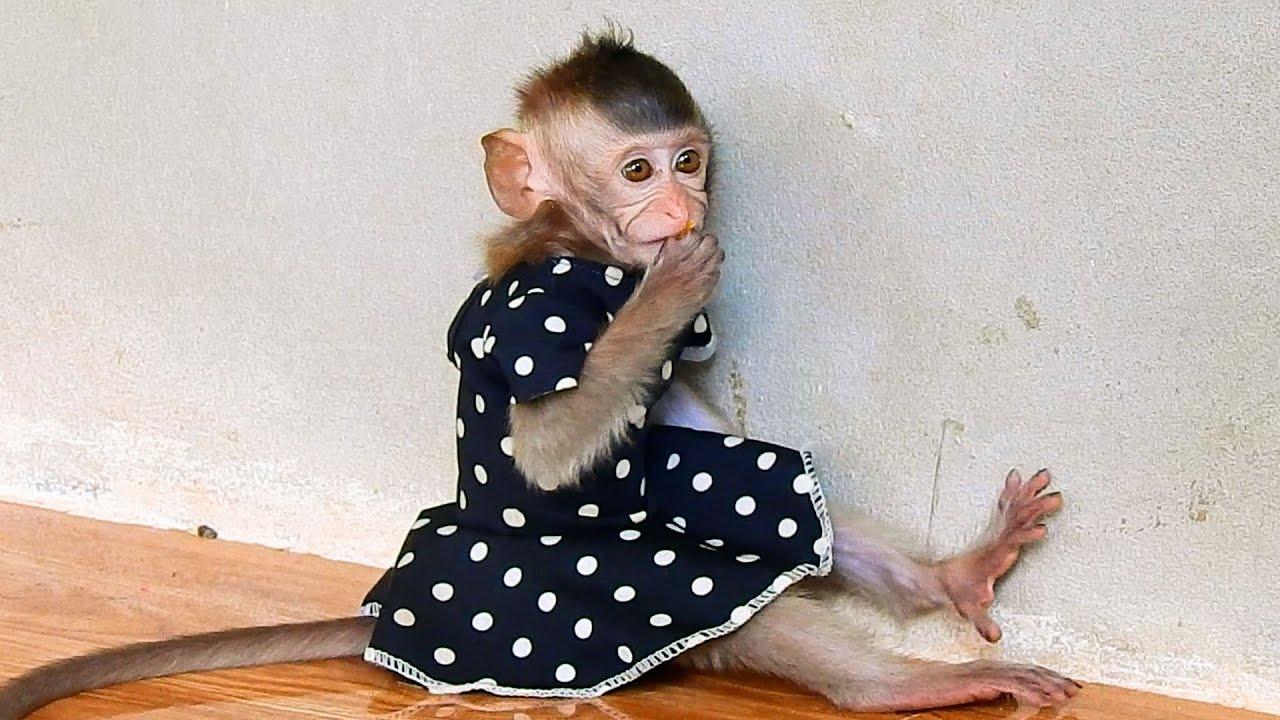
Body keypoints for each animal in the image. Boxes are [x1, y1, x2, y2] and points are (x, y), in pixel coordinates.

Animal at [0, 29, 1079, 719]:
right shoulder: (543, 306)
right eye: (638, 172)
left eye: (688, 160)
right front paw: (662, 295)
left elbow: (684, 437)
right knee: (711, 581)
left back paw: (959, 573)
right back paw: (895, 686)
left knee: (724, 480)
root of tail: (386, 617)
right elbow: (556, 447)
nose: (681, 208)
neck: (581, 245)